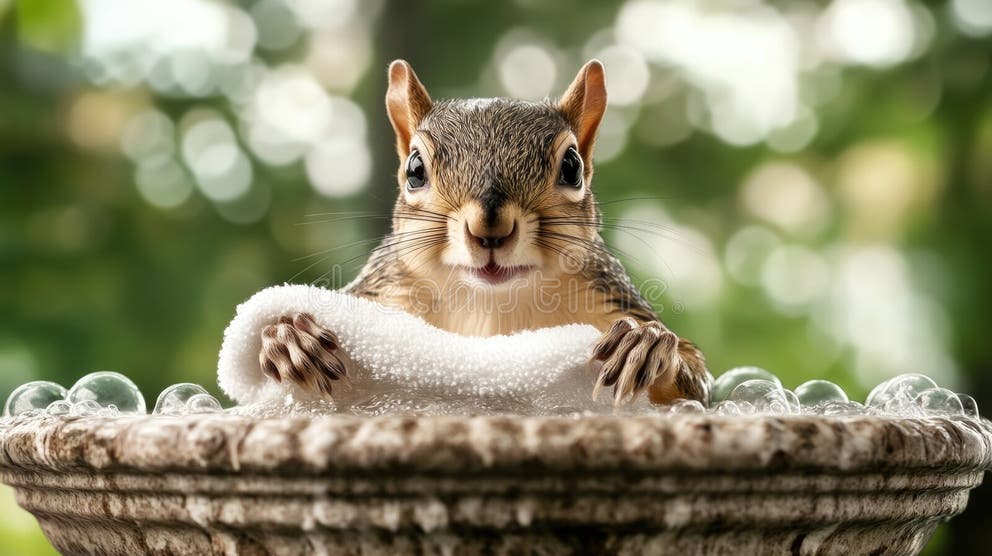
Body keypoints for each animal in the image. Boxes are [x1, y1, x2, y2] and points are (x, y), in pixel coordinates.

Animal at [258, 60, 710, 406]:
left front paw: (645, 342)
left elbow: (693, 380)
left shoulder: (609, 296)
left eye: (572, 167)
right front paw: (289, 338)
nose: (489, 228)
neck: (491, 307)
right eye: (415, 169)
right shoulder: (383, 297)